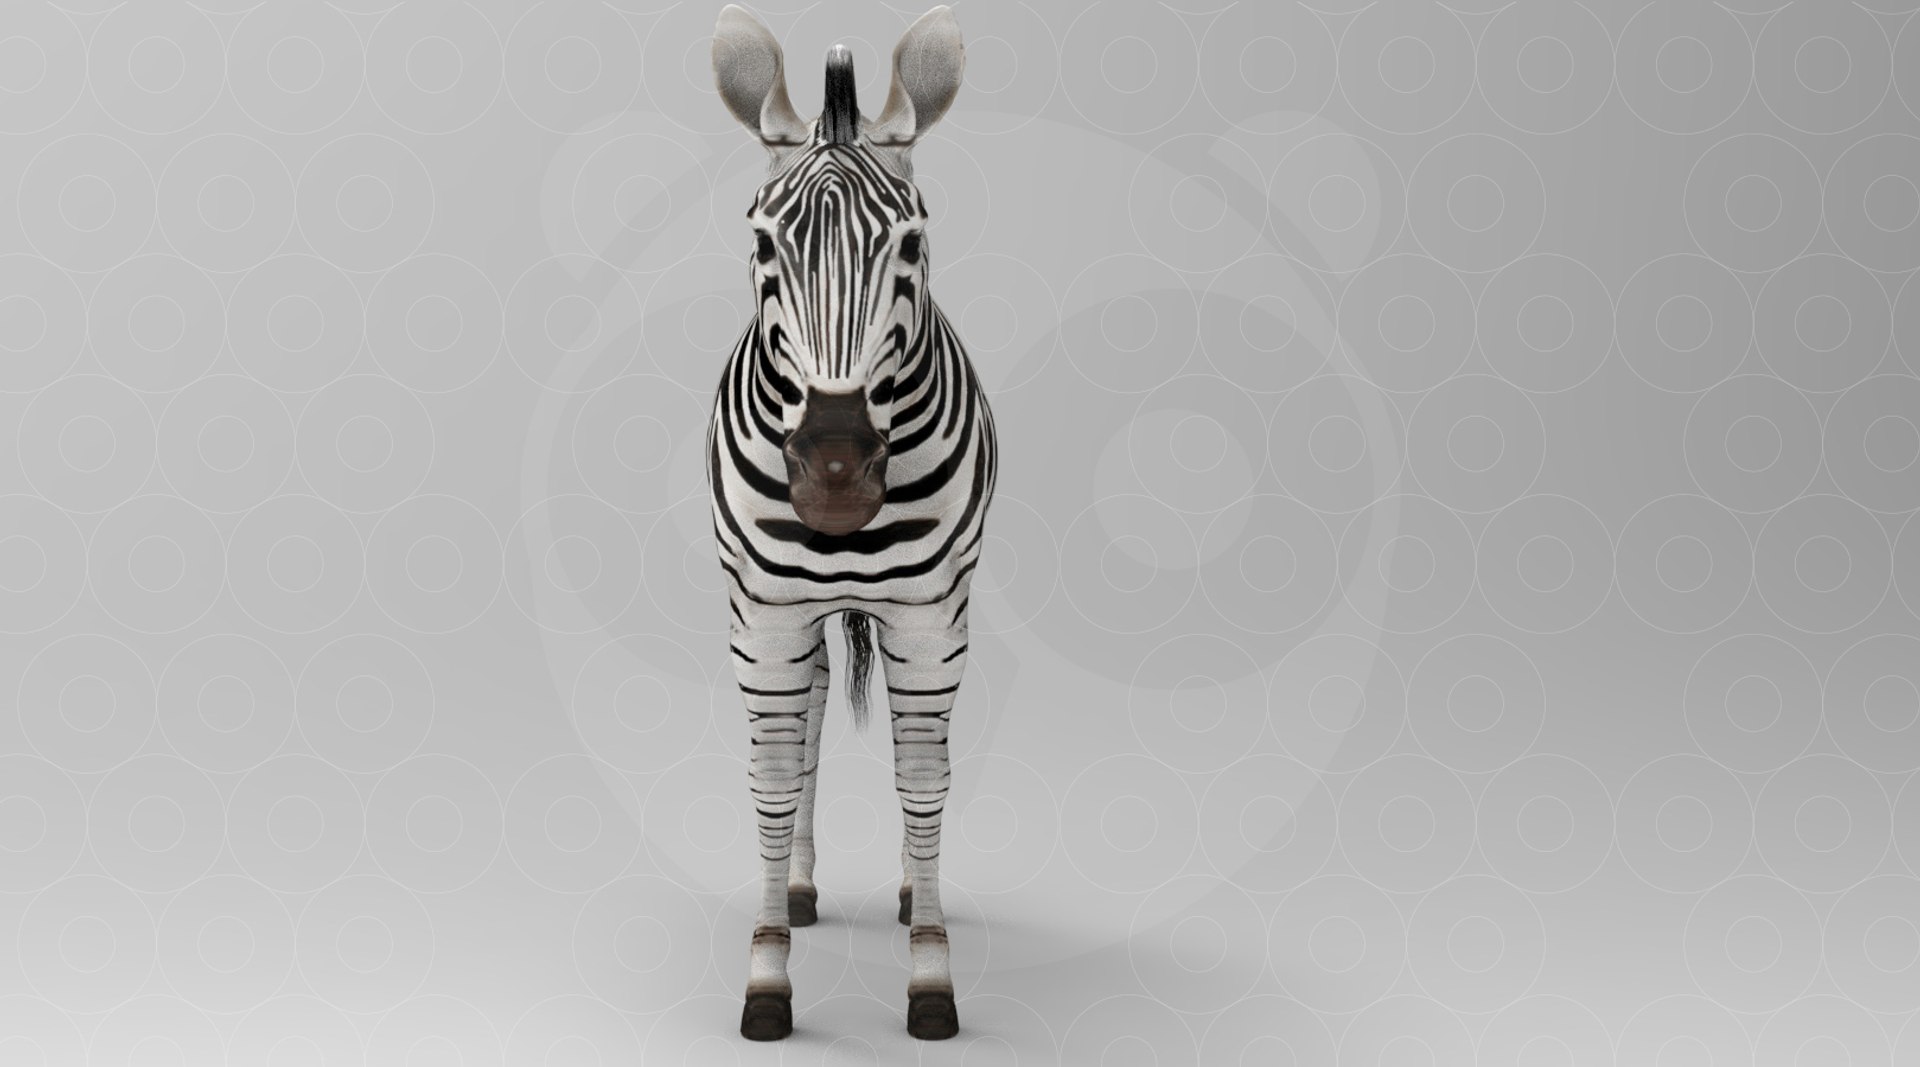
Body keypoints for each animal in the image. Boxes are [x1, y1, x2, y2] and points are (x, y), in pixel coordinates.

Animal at [707, 4, 995, 1043]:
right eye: (762, 246)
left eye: (912, 243)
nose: (834, 477)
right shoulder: (763, 621)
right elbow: (773, 776)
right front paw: (766, 976)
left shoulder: (930, 622)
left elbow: (924, 780)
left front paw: (931, 973)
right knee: (815, 714)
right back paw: (796, 890)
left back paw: (914, 893)